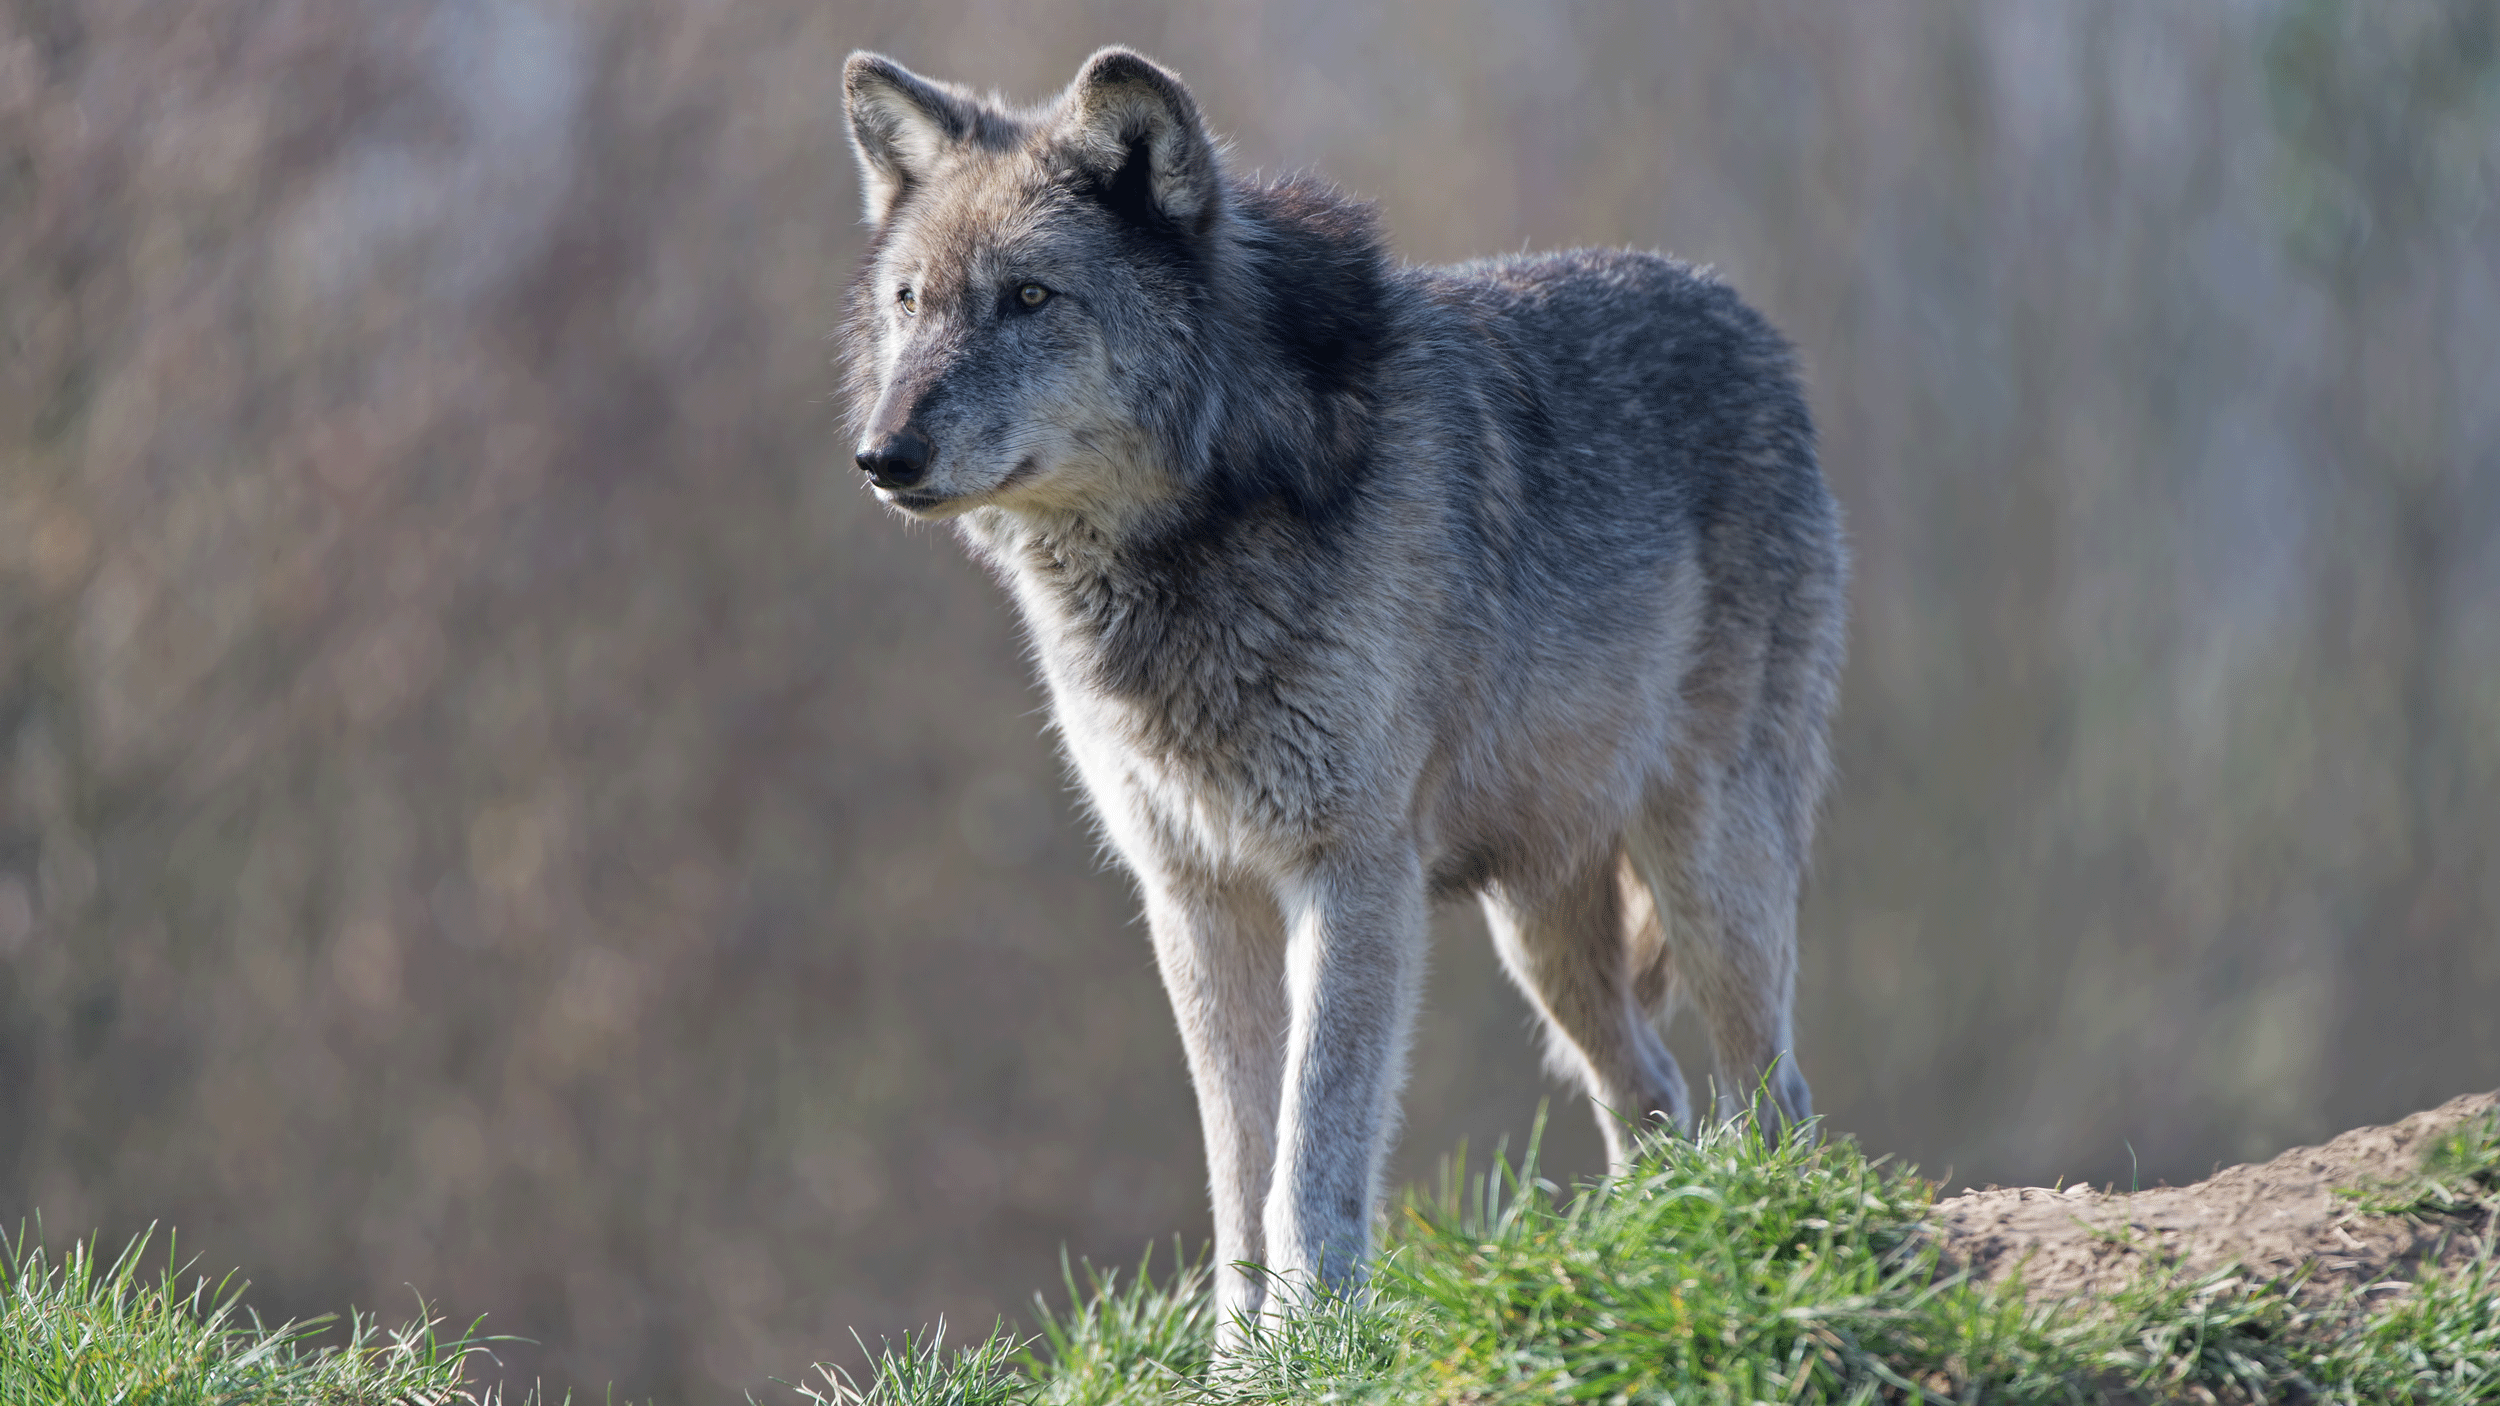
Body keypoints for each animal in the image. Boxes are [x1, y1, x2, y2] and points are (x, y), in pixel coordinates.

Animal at [840, 47, 1846, 1340]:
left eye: (1027, 297)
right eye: (909, 300)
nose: (883, 455)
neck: (1199, 531)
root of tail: (1752, 323)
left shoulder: (1353, 873)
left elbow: (1307, 1157)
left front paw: (1315, 1345)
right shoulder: (1193, 891)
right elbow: (1235, 1174)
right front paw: (1239, 1360)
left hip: (1706, 861)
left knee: (1771, 1091)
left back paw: (1756, 1253)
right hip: (1541, 930)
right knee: (1653, 1091)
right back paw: (1640, 1264)